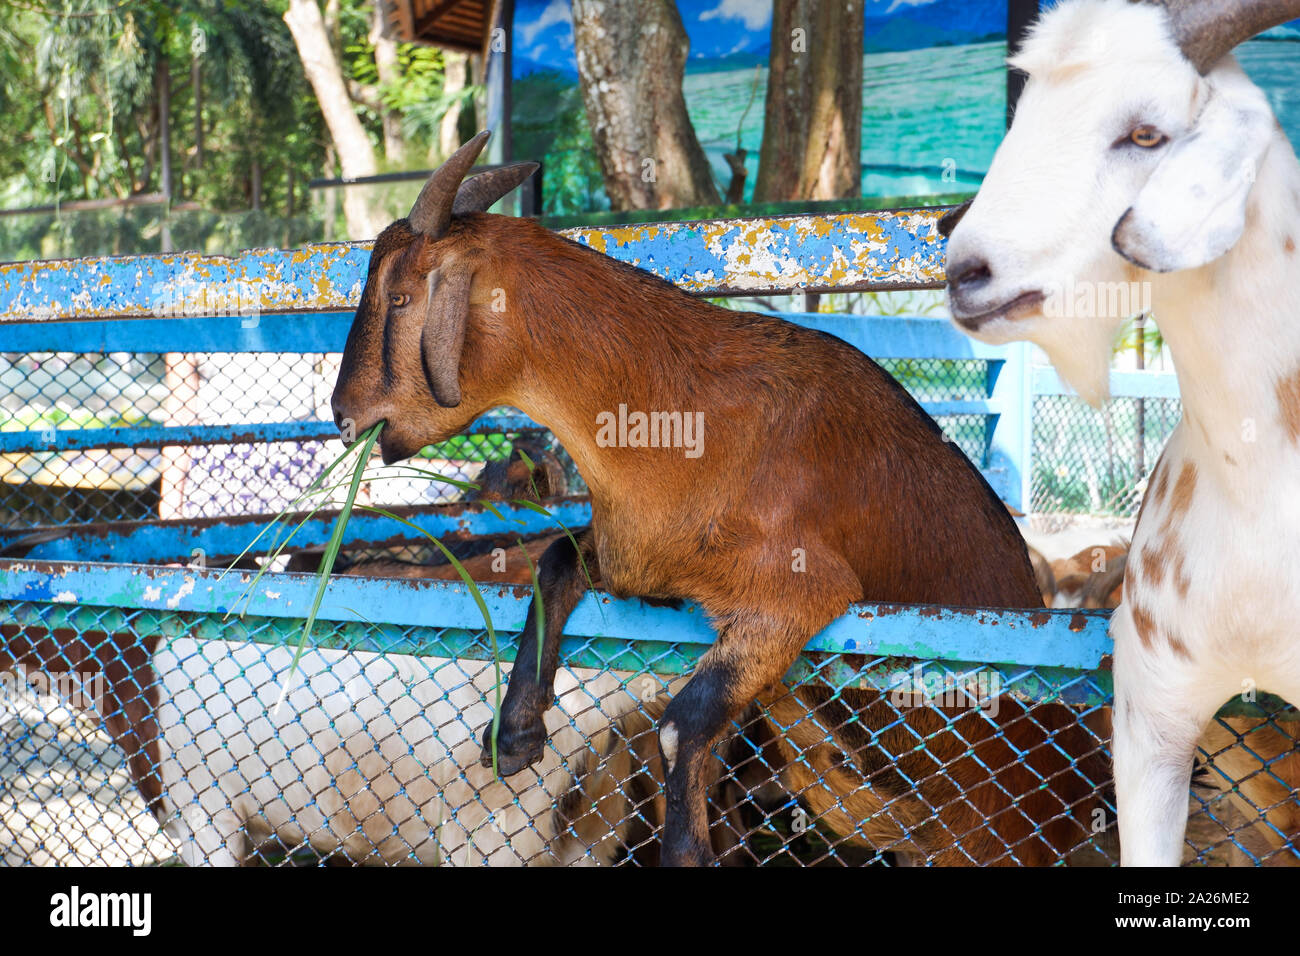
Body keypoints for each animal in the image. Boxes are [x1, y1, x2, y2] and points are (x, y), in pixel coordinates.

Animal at [330, 131, 1111, 865]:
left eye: (399, 297)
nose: (342, 416)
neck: (678, 412)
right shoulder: (645, 561)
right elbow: (556, 558)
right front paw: (516, 733)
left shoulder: (798, 593)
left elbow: (682, 724)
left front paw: (688, 848)